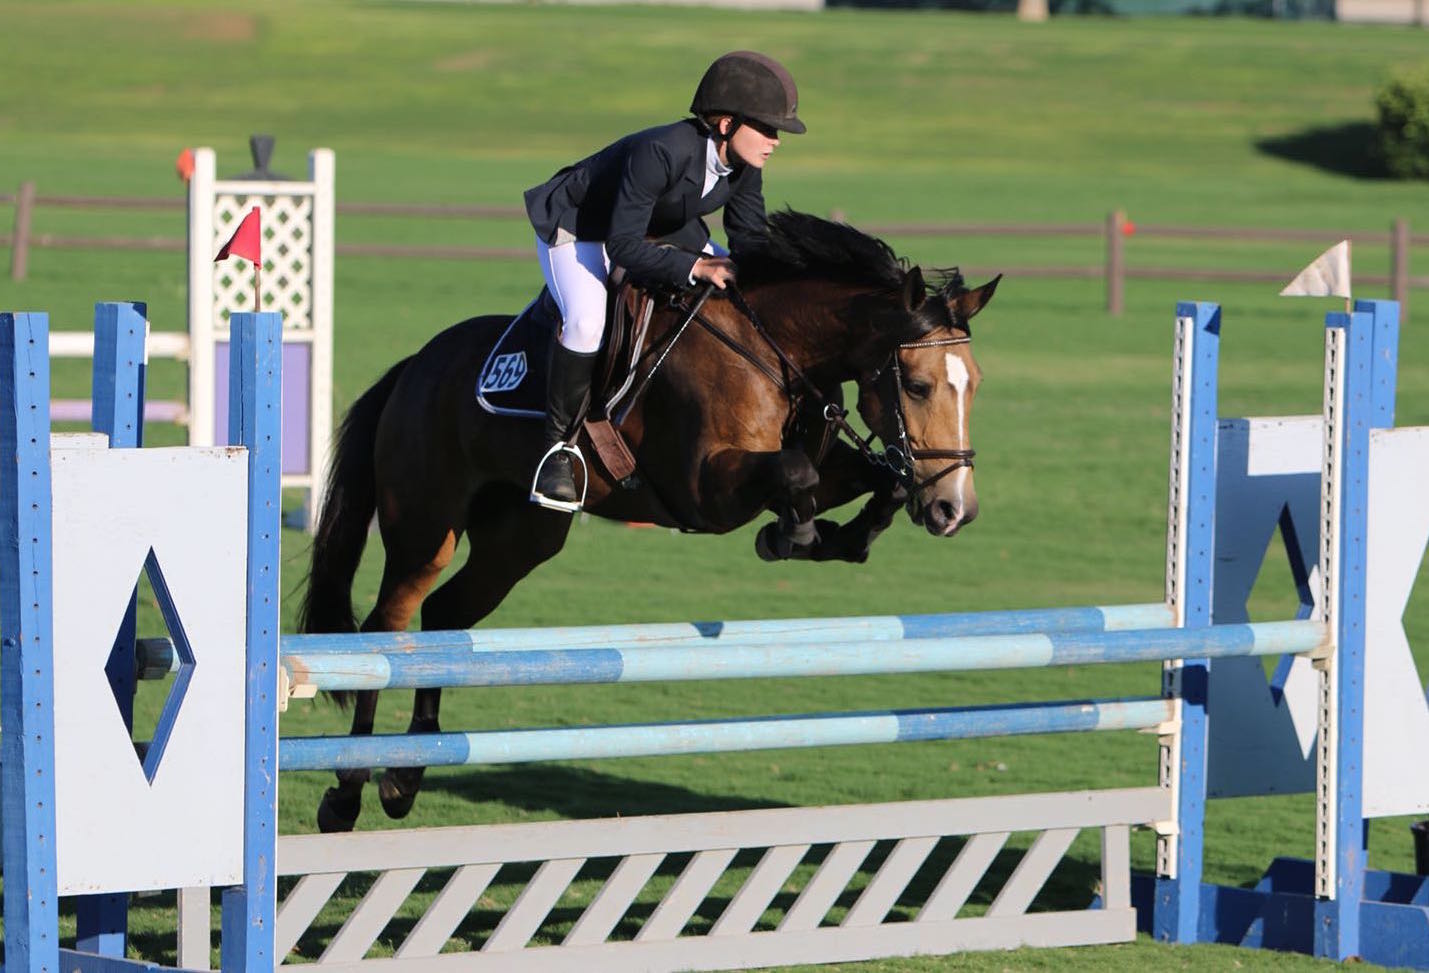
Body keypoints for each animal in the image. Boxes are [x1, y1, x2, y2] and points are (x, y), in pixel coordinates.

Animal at [299, 210, 1000, 833]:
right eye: (915, 385)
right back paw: (349, 791)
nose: (955, 511)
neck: (772, 351)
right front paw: (791, 534)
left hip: (521, 538)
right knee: (387, 632)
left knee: (445, 618)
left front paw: (844, 535)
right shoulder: (706, 491)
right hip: (426, 530)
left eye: (975, 383)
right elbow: (796, 477)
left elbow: (874, 478)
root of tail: (415, 366)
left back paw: (405, 776)